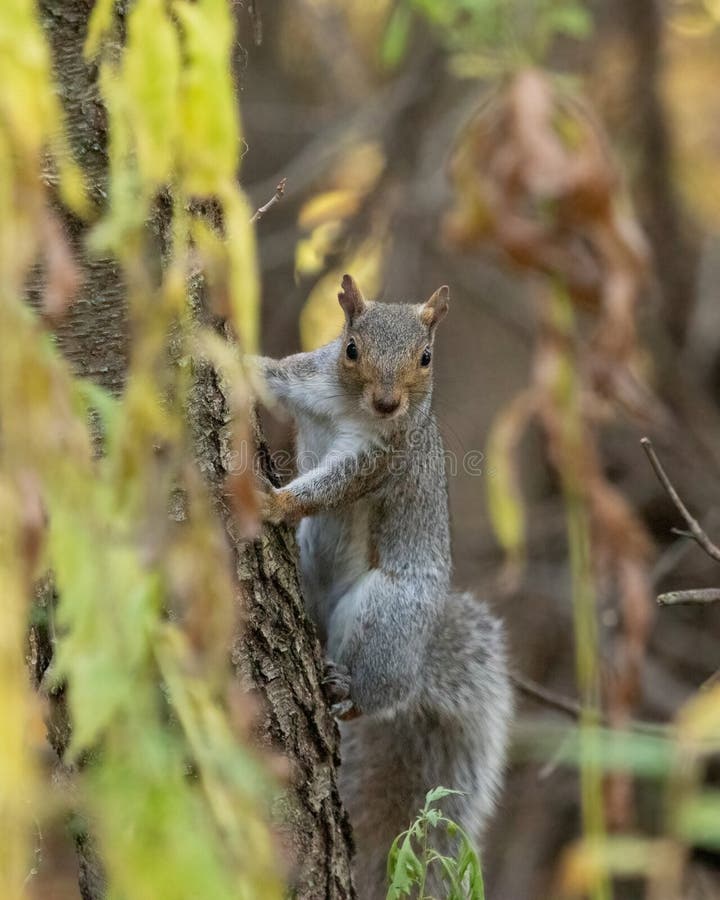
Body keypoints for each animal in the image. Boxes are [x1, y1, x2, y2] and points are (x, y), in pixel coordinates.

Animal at [254, 275, 512, 899]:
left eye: (427, 357)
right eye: (350, 348)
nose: (389, 403)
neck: (349, 406)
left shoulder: (380, 455)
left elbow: (331, 487)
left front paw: (276, 503)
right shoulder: (304, 379)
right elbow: (265, 373)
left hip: (386, 616)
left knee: (381, 694)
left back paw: (349, 688)